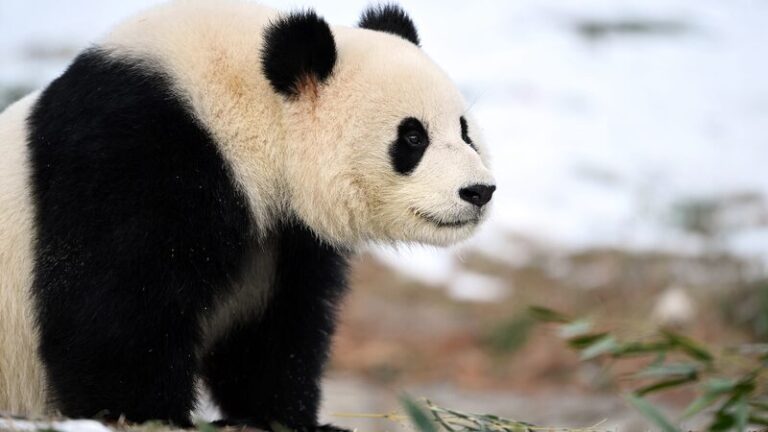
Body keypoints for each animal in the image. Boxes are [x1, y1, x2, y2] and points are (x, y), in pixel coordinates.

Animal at [0, 0, 495, 429]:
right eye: (412, 137)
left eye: (464, 130)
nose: (479, 191)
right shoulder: (134, 153)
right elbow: (112, 304)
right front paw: (146, 413)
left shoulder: (284, 238)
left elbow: (273, 333)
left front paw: (282, 416)